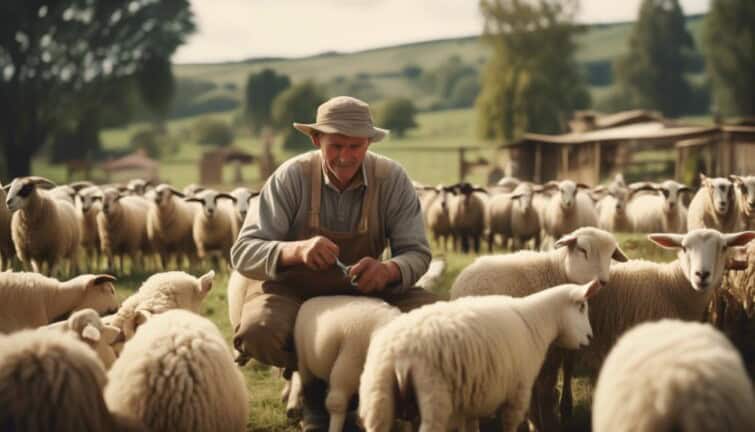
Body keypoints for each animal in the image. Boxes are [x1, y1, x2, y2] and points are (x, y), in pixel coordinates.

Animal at [358, 279, 602, 432]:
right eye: (581, 307)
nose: (590, 337)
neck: (536, 320)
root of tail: (399, 355)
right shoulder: (518, 393)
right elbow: (510, 426)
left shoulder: (472, 399)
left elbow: (471, 427)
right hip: (434, 396)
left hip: (378, 397)